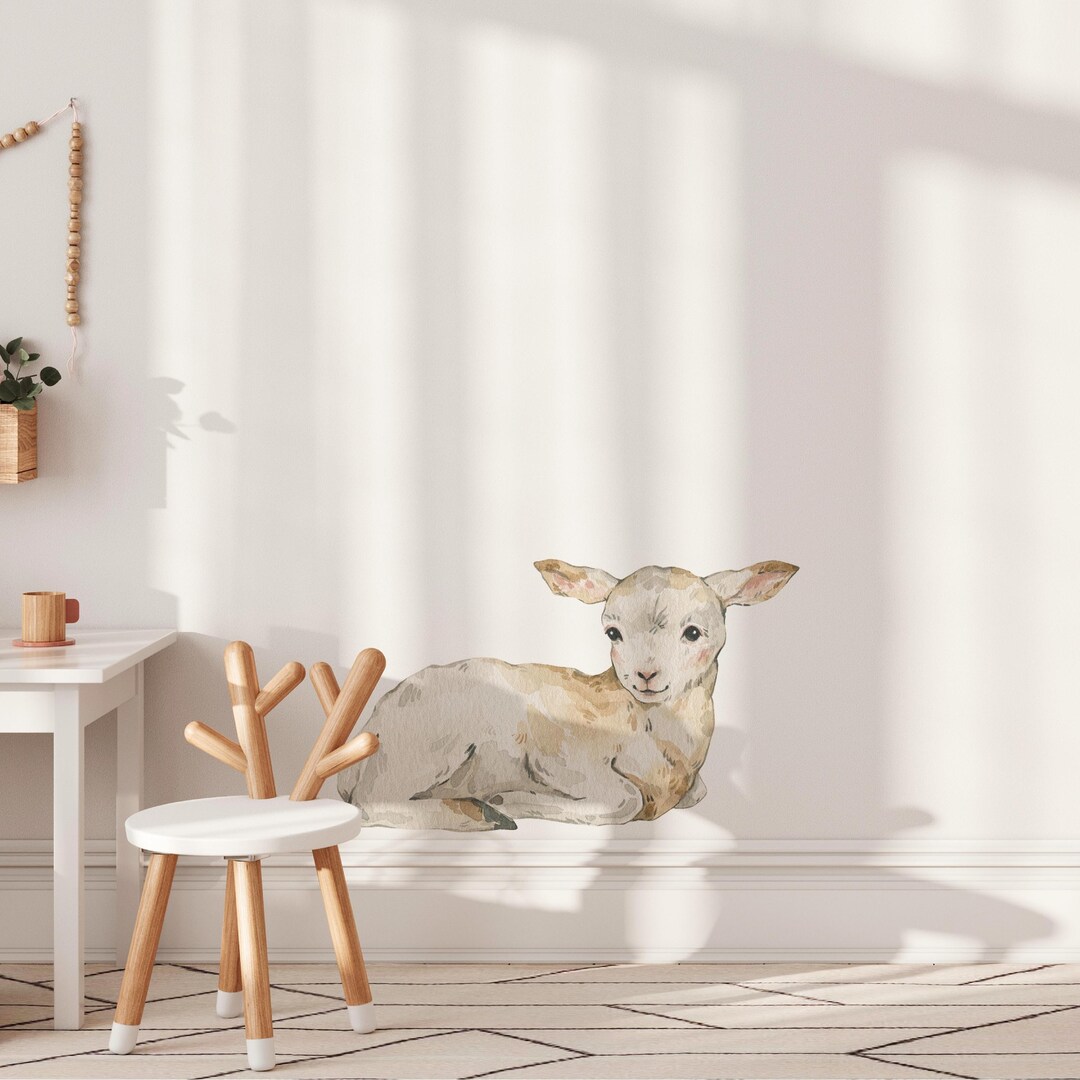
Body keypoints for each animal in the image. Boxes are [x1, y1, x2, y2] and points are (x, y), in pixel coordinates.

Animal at [337, 559, 798, 830]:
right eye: (612, 632)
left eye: (693, 632)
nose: (645, 675)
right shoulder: (558, 756)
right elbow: (625, 799)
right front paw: (509, 799)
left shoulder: (690, 785)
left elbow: (695, 792)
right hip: (432, 743)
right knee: (371, 803)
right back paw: (480, 813)